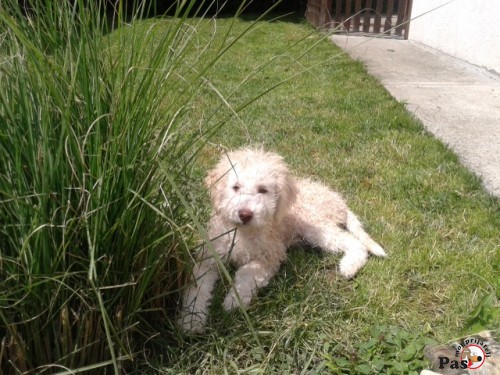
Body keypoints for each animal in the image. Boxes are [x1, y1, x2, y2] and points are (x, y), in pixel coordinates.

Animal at [180, 148, 386, 334]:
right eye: (236, 187)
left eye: (263, 190)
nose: (245, 214)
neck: (243, 232)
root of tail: (338, 201)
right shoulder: (208, 256)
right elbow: (197, 288)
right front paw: (191, 320)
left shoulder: (270, 256)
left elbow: (247, 273)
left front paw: (233, 302)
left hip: (315, 226)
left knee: (353, 242)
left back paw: (348, 266)